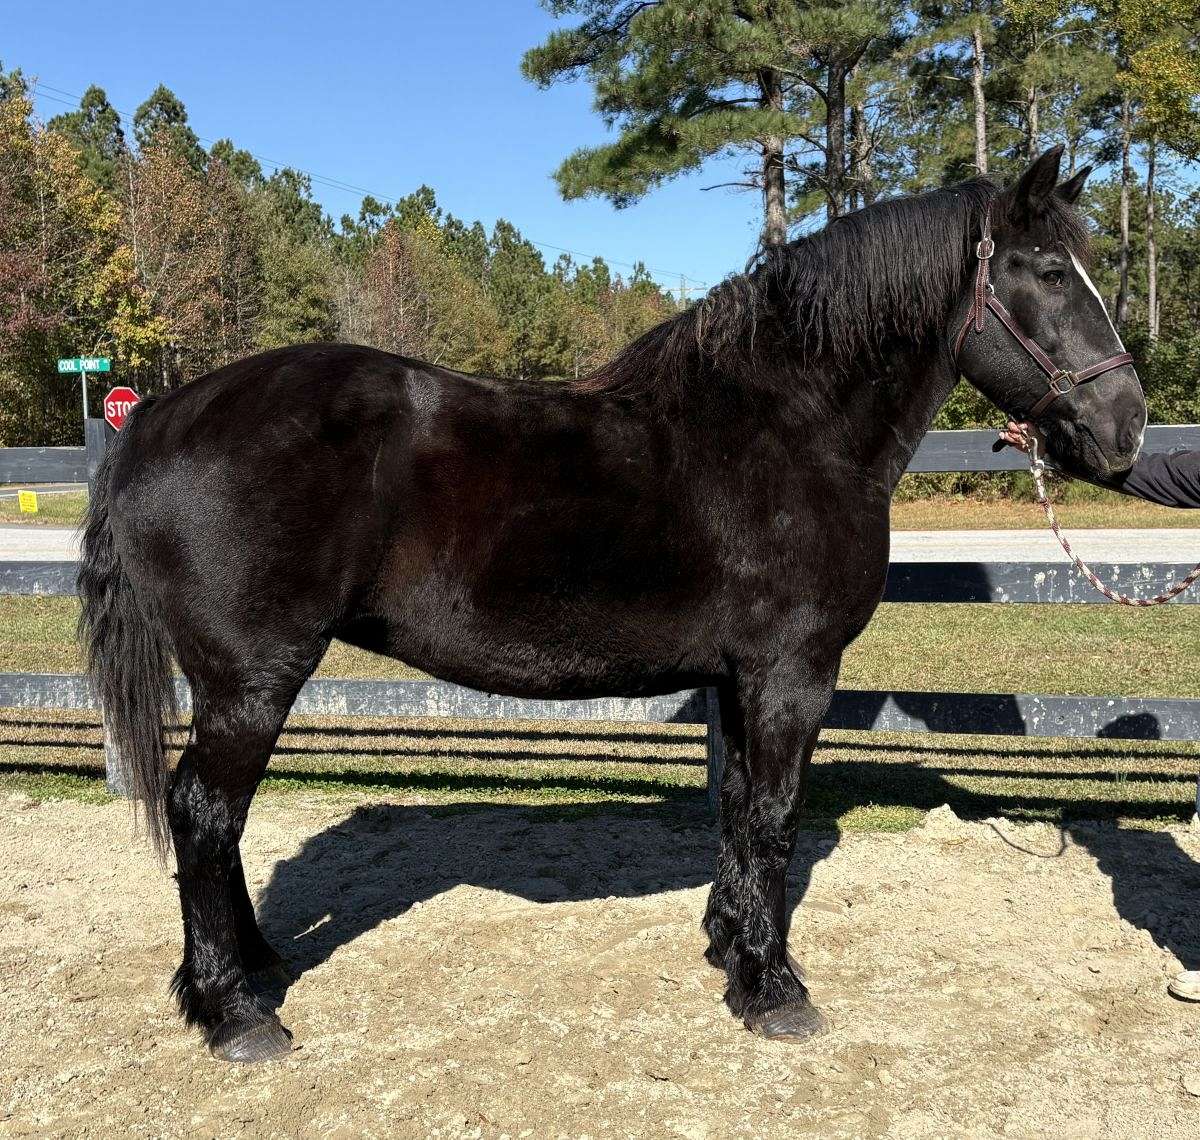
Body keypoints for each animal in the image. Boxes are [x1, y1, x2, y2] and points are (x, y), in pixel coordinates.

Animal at [78, 146, 1146, 1063]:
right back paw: (233, 1012)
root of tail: (156, 420)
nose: (1127, 424)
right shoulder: (792, 671)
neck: (786, 426)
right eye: (1048, 272)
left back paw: (251, 968)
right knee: (203, 811)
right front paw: (775, 990)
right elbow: (774, 816)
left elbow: (737, 809)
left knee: (213, 818)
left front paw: (730, 946)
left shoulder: (739, 677)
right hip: (254, 678)